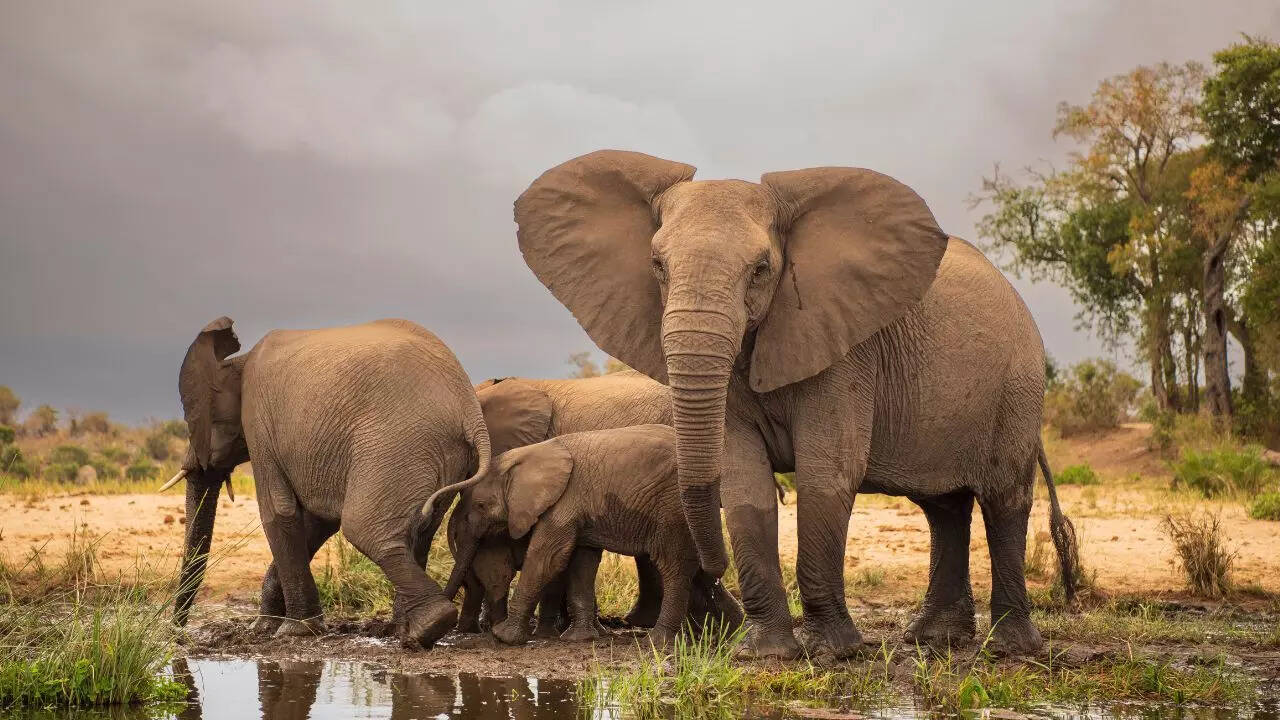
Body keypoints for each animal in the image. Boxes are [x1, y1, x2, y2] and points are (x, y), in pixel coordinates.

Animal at [163, 317, 489, 648]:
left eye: (194, 422)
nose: (178, 634)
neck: (236, 362)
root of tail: (469, 410)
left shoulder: (259, 425)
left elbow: (277, 512)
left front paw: (292, 631)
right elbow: (316, 521)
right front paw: (265, 628)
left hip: (397, 444)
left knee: (364, 528)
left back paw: (429, 626)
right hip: (440, 454)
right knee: (420, 531)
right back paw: (403, 631)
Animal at [443, 424, 715, 647]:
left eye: (480, 505)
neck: (527, 455)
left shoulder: (563, 502)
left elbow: (547, 559)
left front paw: (504, 637)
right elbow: (581, 562)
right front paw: (580, 639)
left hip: (672, 510)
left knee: (673, 566)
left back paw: (658, 642)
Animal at [513, 150, 1078, 659]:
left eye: (761, 269)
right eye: (657, 266)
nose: (712, 575)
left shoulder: (847, 351)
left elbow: (827, 474)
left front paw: (831, 652)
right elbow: (744, 480)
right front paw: (763, 653)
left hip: (1018, 386)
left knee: (1003, 499)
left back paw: (1008, 649)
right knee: (944, 507)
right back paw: (932, 640)